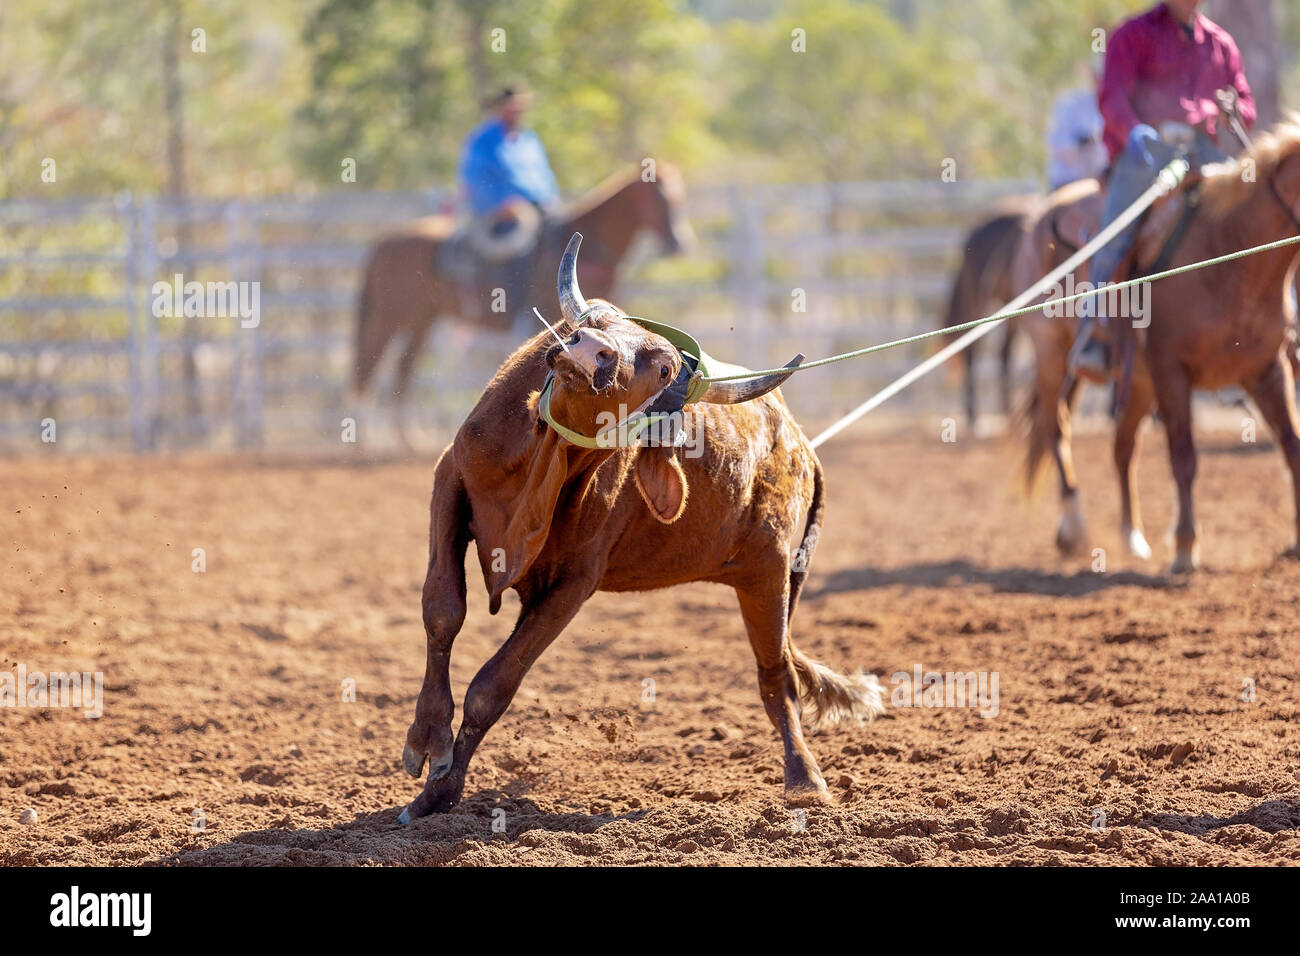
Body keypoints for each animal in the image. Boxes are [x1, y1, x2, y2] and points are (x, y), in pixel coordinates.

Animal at [398, 234, 884, 822]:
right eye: (600, 321)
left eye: (665, 367)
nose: (590, 350)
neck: (540, 464)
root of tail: (800, 443)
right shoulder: (450, 480)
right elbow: (442, 610)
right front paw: (427, 741)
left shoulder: (575, 580)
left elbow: (495, 684)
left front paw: (440, 792)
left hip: (767, 572)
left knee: (777, 678)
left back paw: (805, 779)